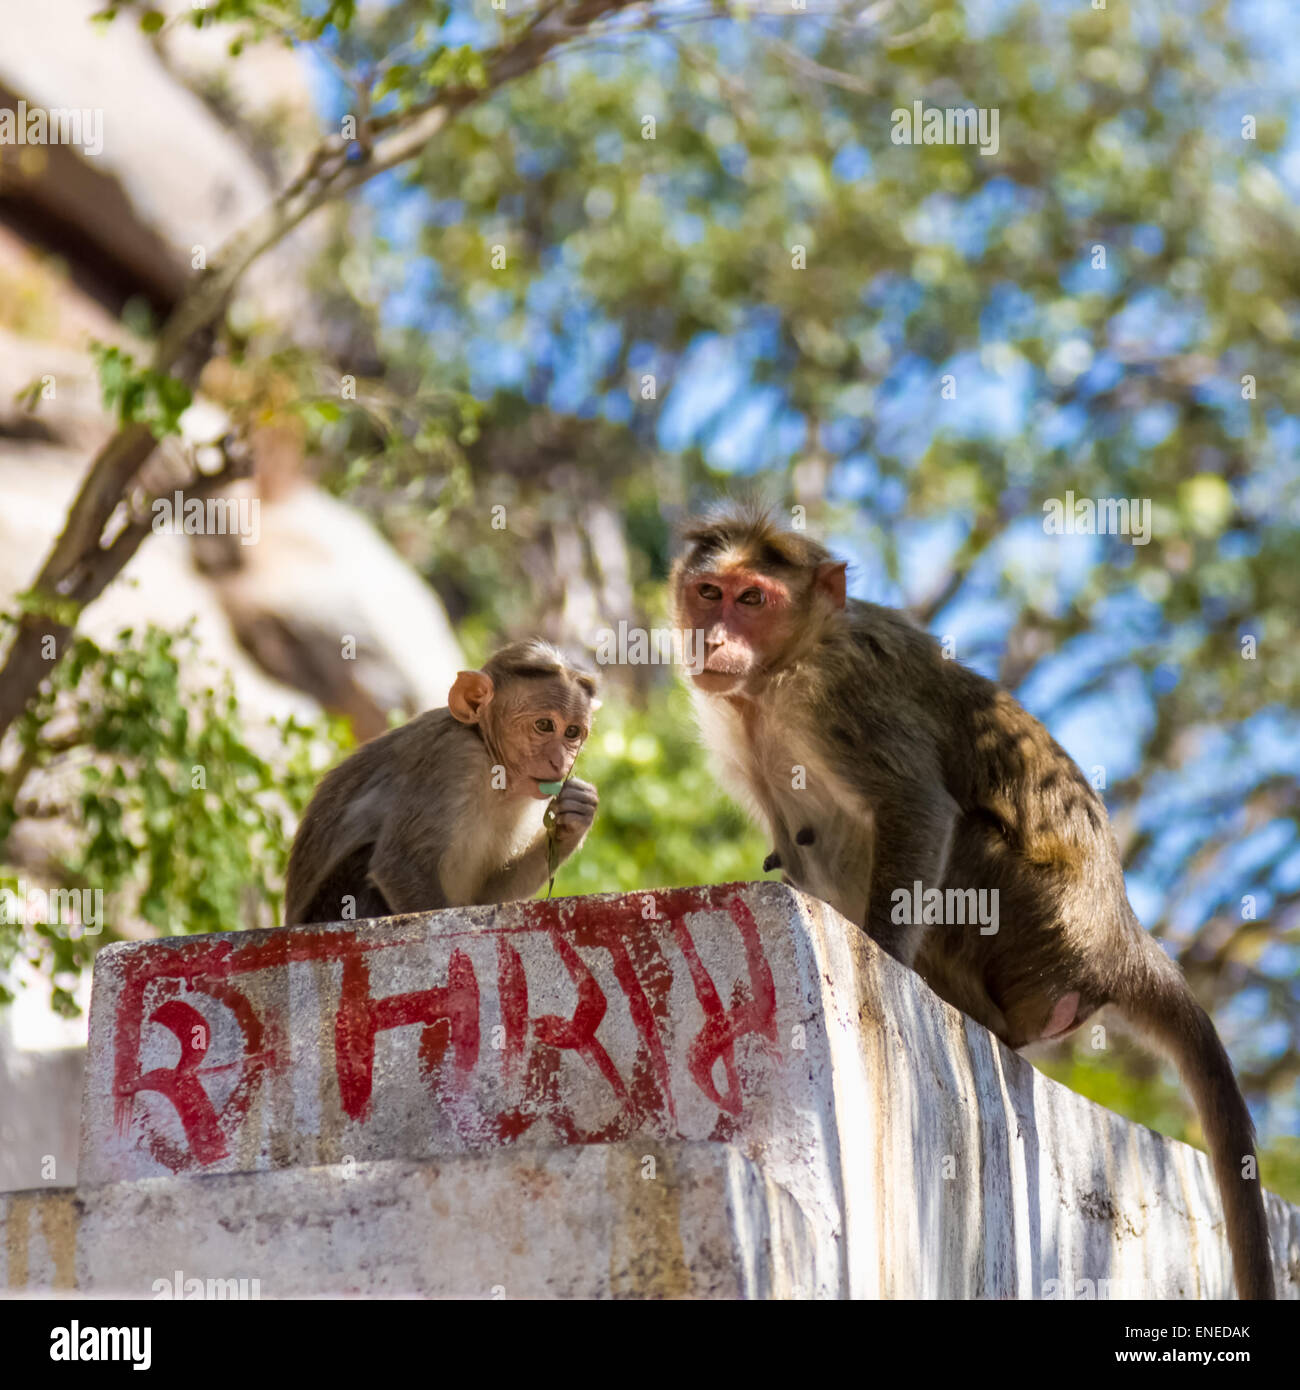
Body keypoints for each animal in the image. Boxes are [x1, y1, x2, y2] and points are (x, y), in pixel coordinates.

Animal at [284, 639, 599, 926]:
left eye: (572, 732)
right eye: (544, 725)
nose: (560, 761)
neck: (491, 762)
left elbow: (487, 897)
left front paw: (576, 815)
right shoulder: (454, 758)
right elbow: (400, 866)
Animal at [671, 506, 1274, 1299]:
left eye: (753, 599)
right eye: (709, 593)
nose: (714, 638)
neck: (775, 679)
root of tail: (1122, 937)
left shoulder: (842, 693)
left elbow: (918, 807)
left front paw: (882, 961)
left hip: (1031, 929)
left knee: (956, 845)